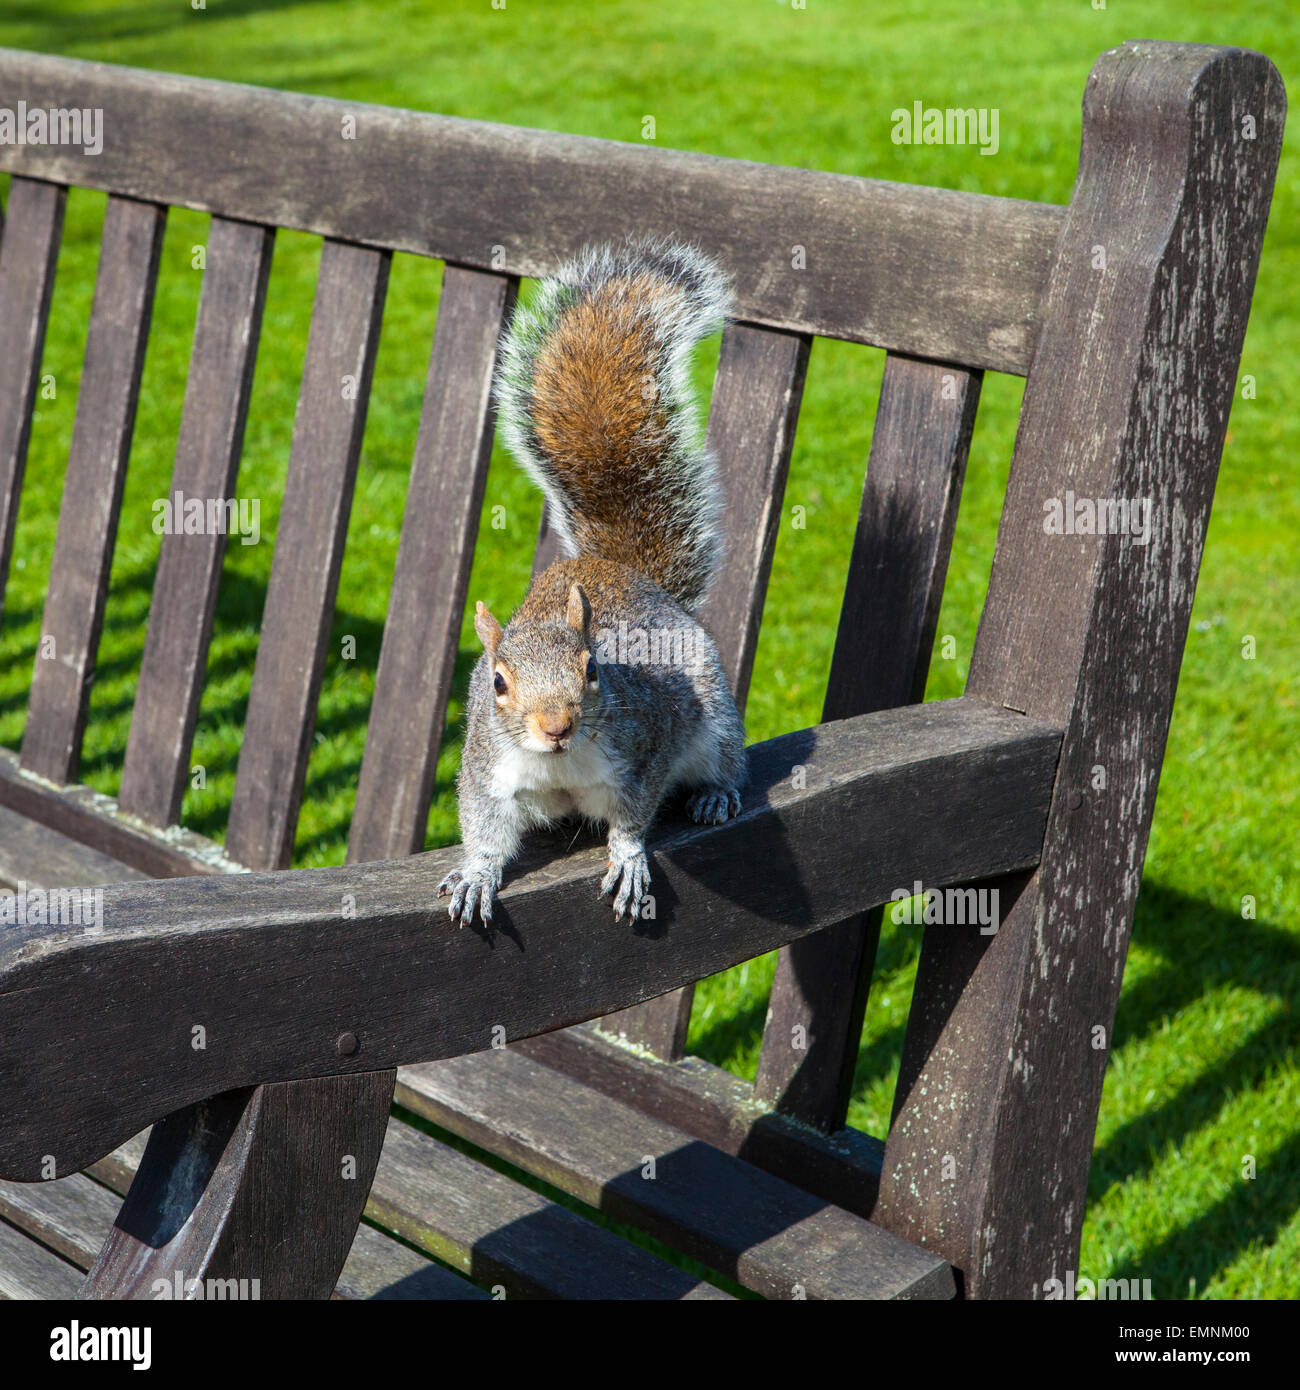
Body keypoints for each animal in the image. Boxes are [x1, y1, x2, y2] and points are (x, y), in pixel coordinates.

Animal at [438, 238, 747, 927]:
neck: (560, 764)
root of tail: (621, 570)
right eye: (497, 683)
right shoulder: (487, 770)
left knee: (725, 759)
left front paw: (628, 858)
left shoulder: (644, 747)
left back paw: (715, 795)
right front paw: (477, 874)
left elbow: (634, 816)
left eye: (593, 669)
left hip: (713, 711)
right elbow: (484, 827)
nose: (556, 726)